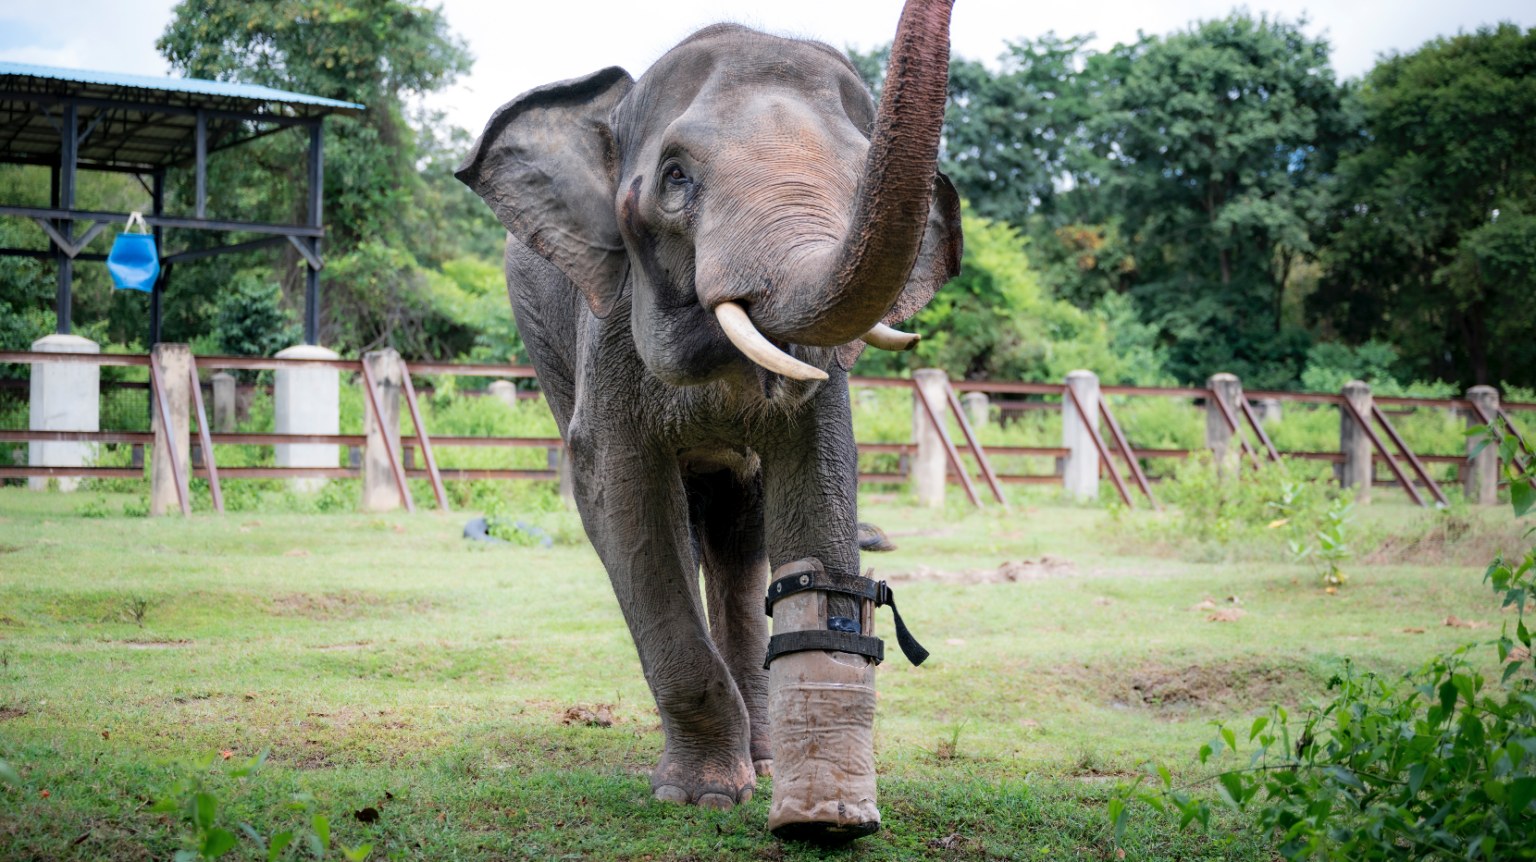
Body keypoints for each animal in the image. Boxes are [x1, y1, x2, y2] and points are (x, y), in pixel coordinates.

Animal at [456, 0, 960, 812]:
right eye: (674, 178)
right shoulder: (608, 330)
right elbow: (622, 494)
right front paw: (700, 797)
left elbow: (815, 482)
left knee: (739, 530)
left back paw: (765, 757)